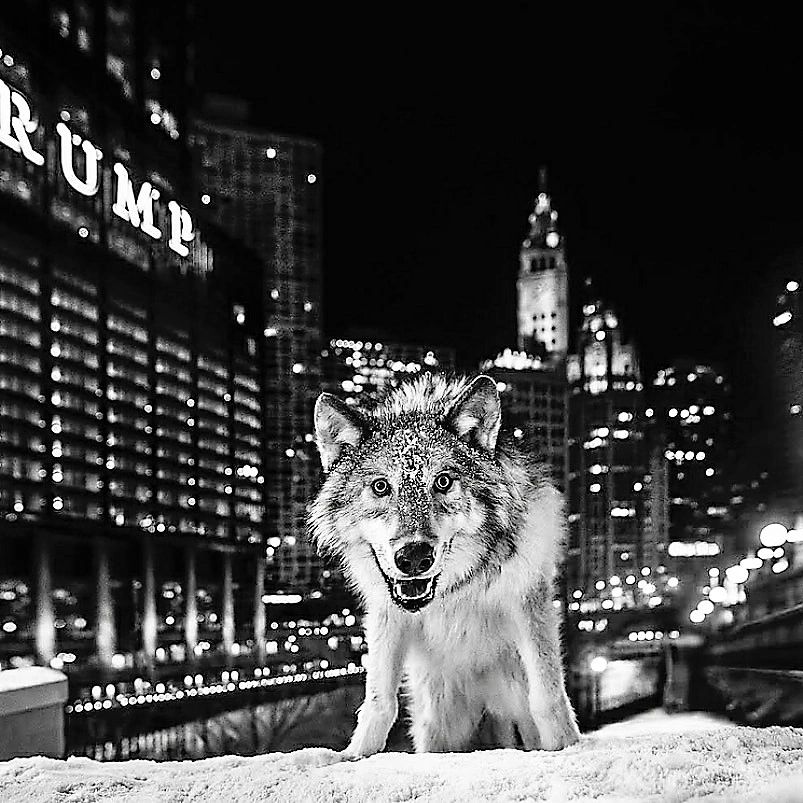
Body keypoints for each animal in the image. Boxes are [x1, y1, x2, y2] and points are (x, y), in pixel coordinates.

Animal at [308, 373, 579, 757]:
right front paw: (356, 756)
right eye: (380, 486)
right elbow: (379, 701)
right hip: (440, 715)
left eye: (443, 481)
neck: (454, 592)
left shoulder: (529, 599)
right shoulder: (386, 615)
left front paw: (565, 746)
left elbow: (547, 694)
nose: (414, 556)